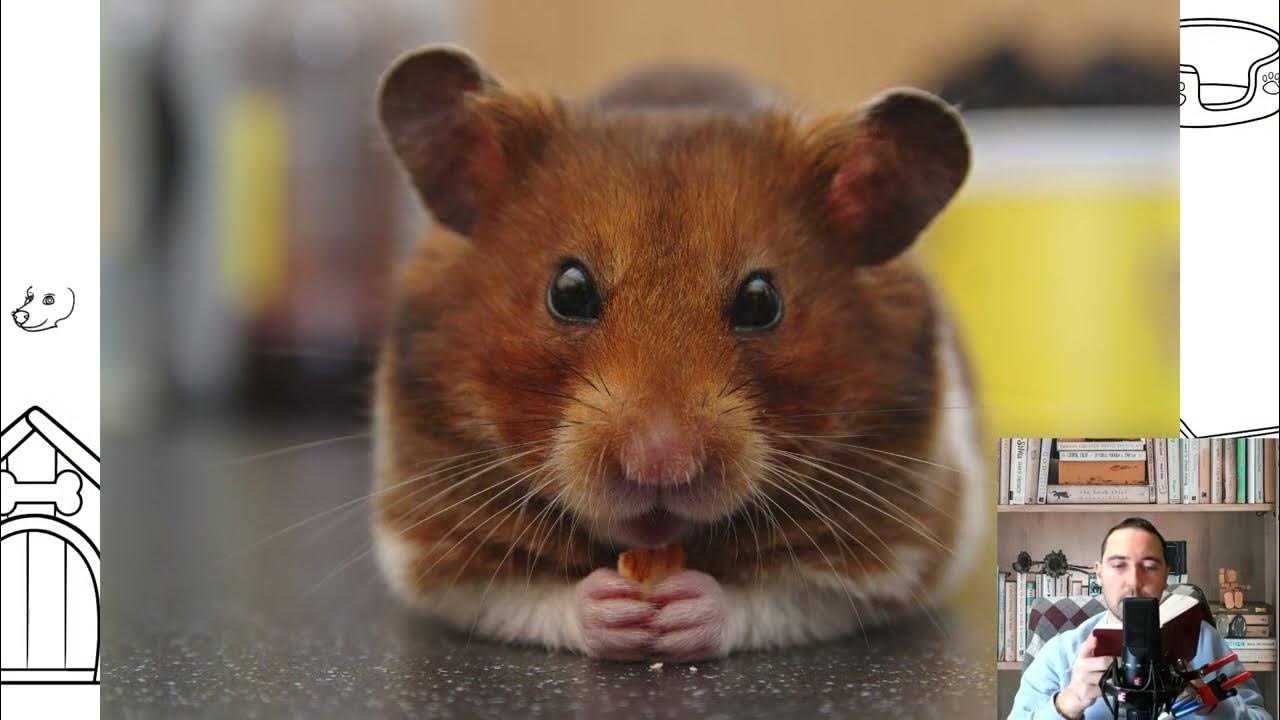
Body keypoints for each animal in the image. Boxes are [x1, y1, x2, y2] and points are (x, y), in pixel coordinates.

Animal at [370, 45, 986, 663]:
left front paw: (682, 609)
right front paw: (615, 609)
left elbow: (780, 597)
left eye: (761, 301)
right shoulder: (428, 544)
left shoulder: (897, 551)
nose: (659, 464)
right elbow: (524, 596)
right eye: (568, 291)